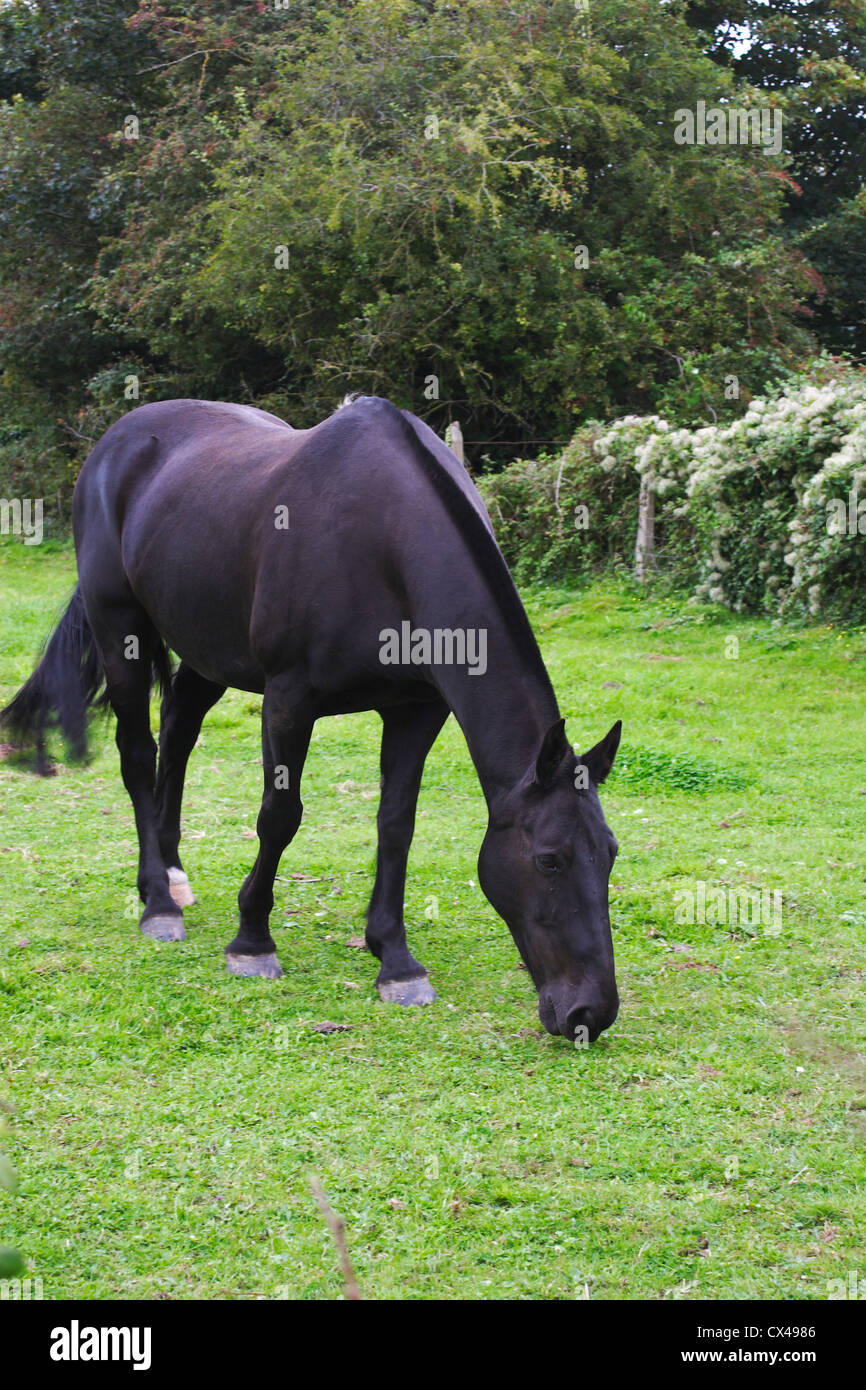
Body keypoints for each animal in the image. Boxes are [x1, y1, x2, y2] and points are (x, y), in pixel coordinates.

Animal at [2, 395, 622, 1042]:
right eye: (549, 859)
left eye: (610, 854)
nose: (590, 1013)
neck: (385, 542)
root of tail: (116, 440)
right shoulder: (288, 700)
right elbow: (279, 817)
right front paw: (252, 943)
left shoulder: (416, 710)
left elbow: (396, 825)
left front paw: (395, 960)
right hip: (120, 629)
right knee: (137, 754)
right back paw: (158, 903)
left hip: (207, 650)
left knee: (178, 733)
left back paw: (173, 873)